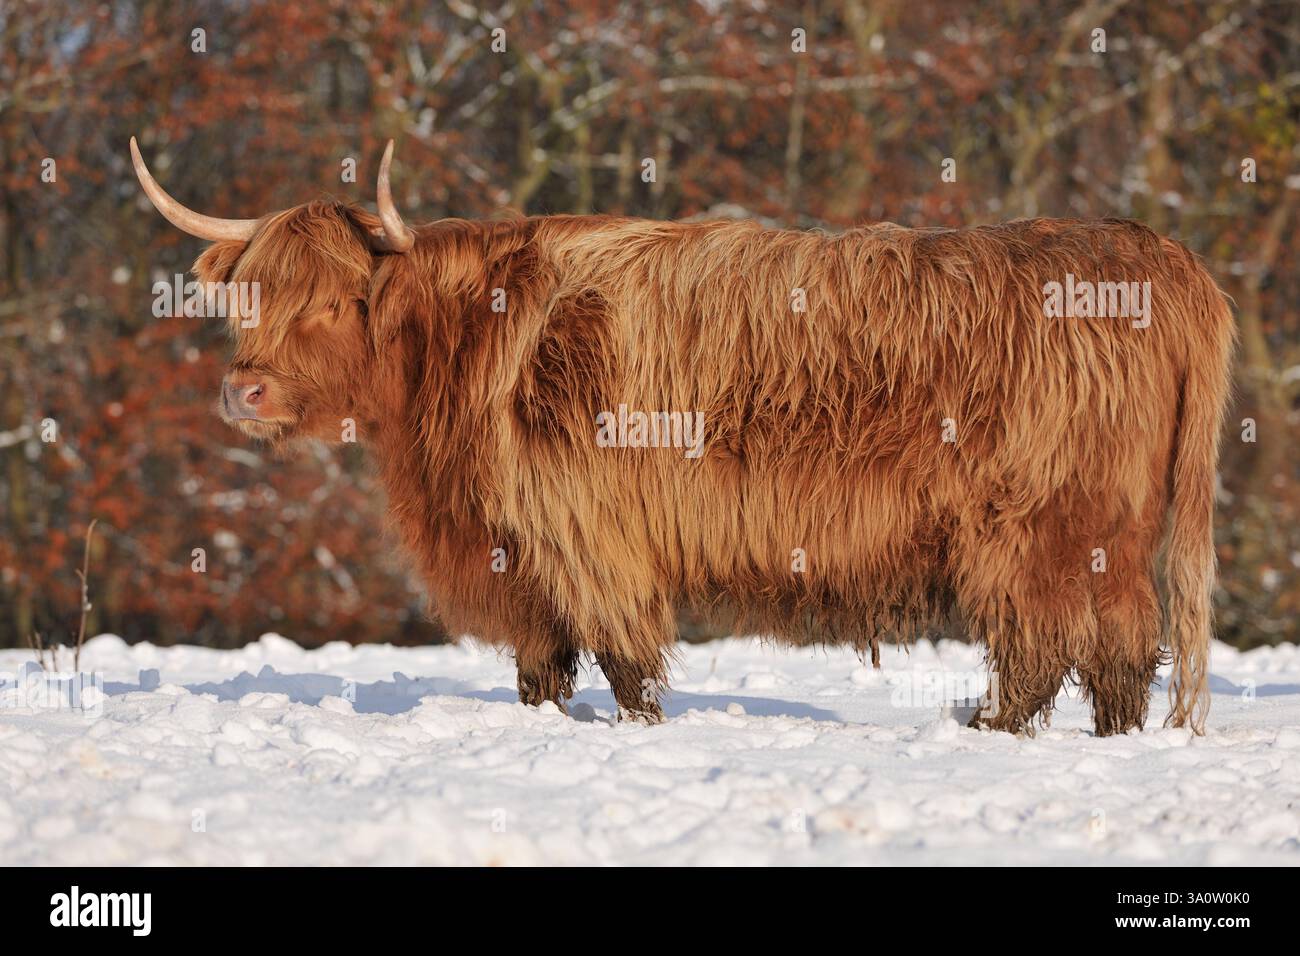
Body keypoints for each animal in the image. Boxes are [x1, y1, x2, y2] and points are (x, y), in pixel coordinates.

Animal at [131, 138, 1235, 736]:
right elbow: (541, 664)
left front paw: (640, 728)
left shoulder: (584, 526)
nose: (245, 390)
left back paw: (986, 727)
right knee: (1122, 647)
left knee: (1050, 643)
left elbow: (622, 656)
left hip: (1035, 525)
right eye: (250, 298)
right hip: (1104, 533)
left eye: (334, 303)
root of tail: (1155, 255)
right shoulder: (525, 548)